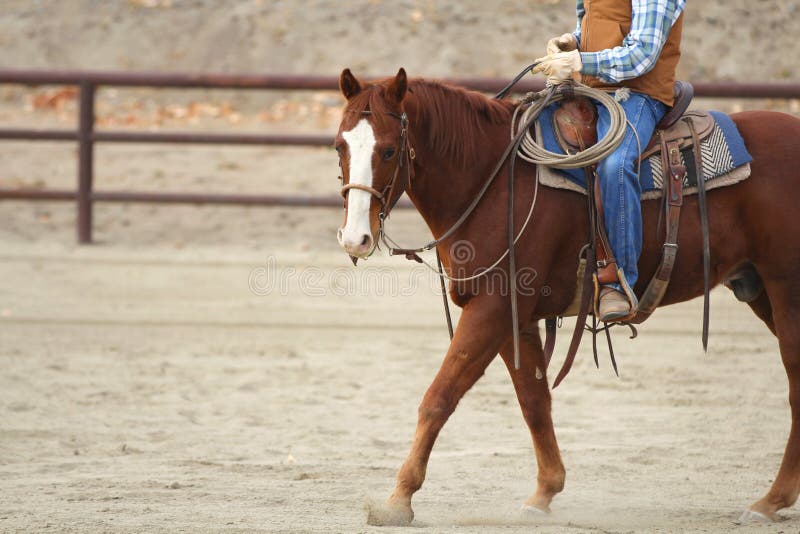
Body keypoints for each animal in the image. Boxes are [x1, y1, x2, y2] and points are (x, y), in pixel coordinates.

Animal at [334, 67, 800, 525]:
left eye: (389, 151)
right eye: (340, 145)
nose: (355, 238)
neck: (493, 180)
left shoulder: (491, 310)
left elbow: (439, 397)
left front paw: (398, 499)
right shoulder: (515, 317)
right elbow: (534, 400)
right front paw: (544, 492)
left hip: (786, 287)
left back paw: (769, 500)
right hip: (758, 288)